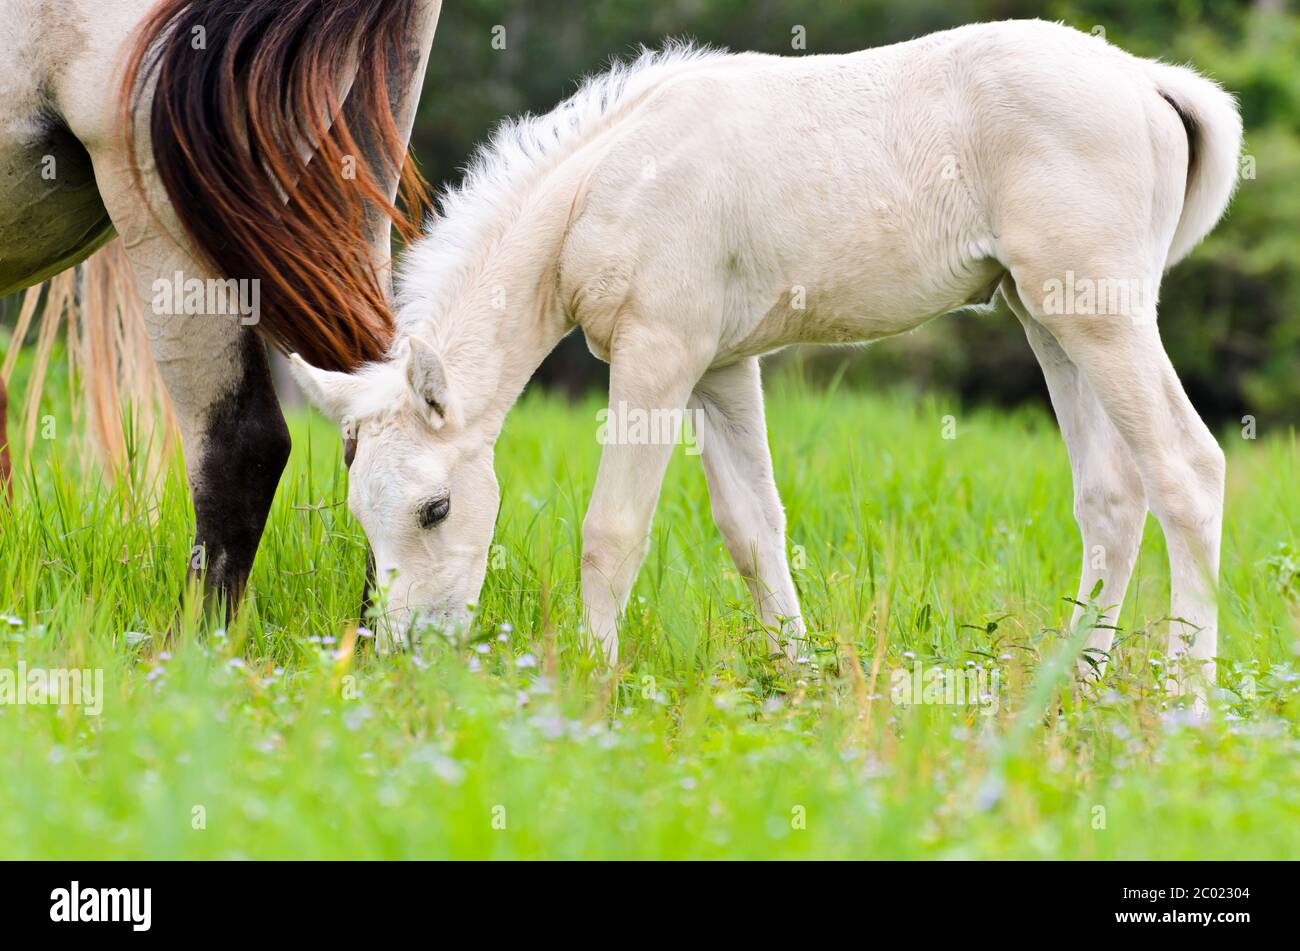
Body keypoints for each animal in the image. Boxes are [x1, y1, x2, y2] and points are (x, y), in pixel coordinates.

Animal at [289, 20, 1241, 697]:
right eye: (364, 511)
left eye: (437, 508)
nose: (412, 657)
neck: (603, 187)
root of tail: (1146, 79)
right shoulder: (719, 368)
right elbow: (753, 527)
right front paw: (795, 681)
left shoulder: (657, 354)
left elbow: (611, 531)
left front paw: (591, 687)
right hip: (1049, 319)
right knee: (1112, 498)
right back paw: (1072, 685)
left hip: (1103, 313)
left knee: (1187, 469)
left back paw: (1188, 697)